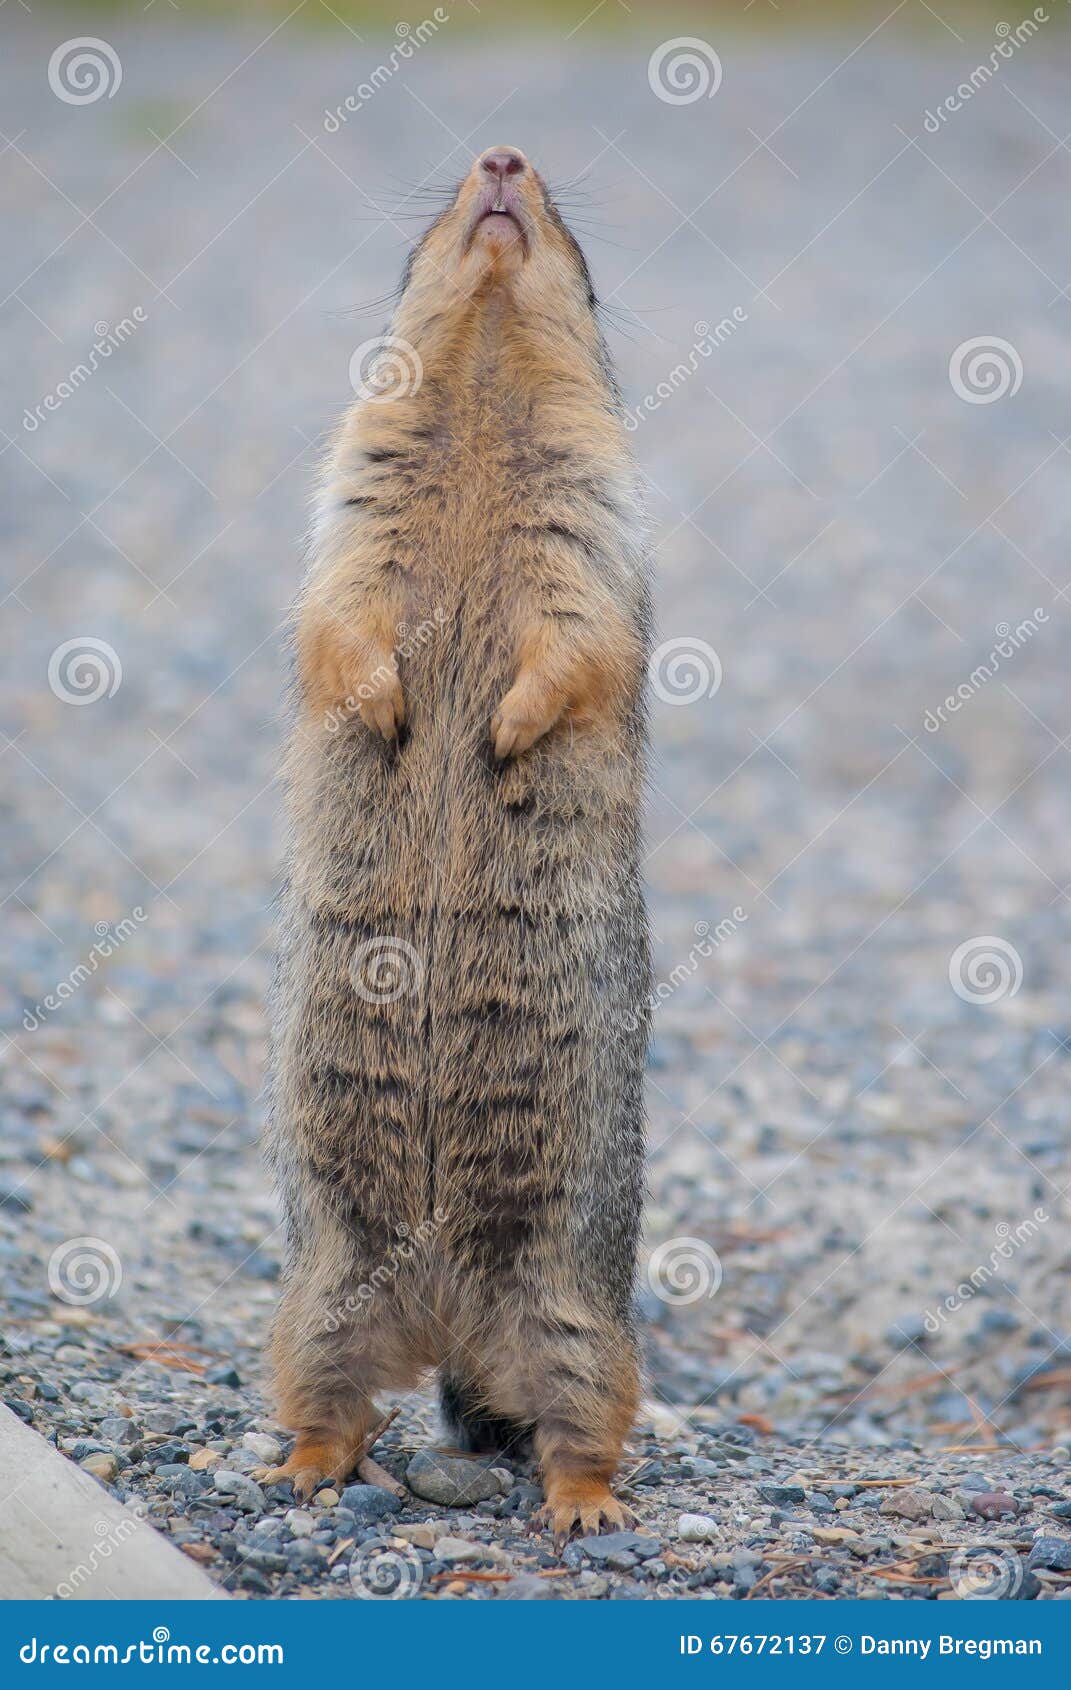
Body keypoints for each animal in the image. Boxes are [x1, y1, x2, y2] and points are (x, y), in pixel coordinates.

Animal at [259, 146, 652, 1541]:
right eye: (425, 233)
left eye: (577, 243)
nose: (503, 157)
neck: (481, 397)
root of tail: (444, 1316)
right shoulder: (347, 506)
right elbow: (340, 611)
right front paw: (390, 706)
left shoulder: (598, 520)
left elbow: (580, 632)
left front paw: (504, 727)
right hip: (318, 1301)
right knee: (330, 1398)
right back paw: (305, 1470)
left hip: (579, 1321)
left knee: (582, 1423)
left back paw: (583, 1505)